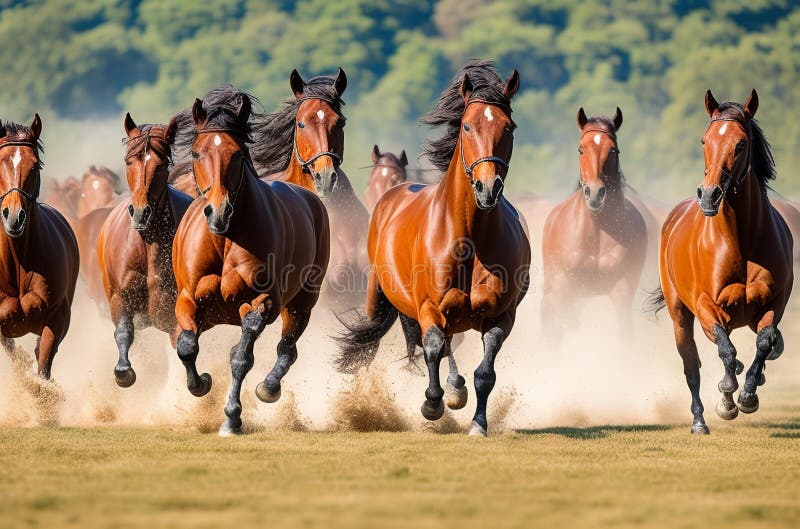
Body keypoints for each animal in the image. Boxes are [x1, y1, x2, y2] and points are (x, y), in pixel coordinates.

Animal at [96, 113, 192, 387]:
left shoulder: (173, 312)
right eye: (129, 161)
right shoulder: (119, 299)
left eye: (161, 165)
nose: (141, 213)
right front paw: (123, 371)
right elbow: (123, 332)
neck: (147, 245)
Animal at [171, 86, 329, 435]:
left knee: (287, 348)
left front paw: (231, 418)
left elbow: (241, 357)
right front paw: (201, 384)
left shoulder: (261, 302)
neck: (225, 238)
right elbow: (187, 345)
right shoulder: (188, 299)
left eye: (238, 154)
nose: (218, 213)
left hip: (303, 302)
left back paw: (269, 388)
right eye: (196, 153)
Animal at [335, 61, 529, 436]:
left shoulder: (501, 316)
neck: (470, 239)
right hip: (379, 298)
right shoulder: (429, 308)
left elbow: (485, 373)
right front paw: (432, 403)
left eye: (508, 126)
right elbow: (433, 347)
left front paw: (478, 424)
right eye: (467, 125)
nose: (487, 188)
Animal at [541, 107, 647, 343]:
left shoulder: (622, 289)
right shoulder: (563, 286)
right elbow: (568, 321)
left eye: (613, 150)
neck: (598, 231)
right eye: (581, 149)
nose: (595, 193)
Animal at [649, 90, 792, 434]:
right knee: (692, 364)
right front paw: (728, 398)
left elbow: (764, 342)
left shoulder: (774, 302)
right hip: (680, 317)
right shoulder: (705, 304)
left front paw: (748, 395)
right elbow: (725, 350)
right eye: (705, 140)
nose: (709, 195)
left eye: (741, 144)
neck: (741, 240)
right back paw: (700, 421)